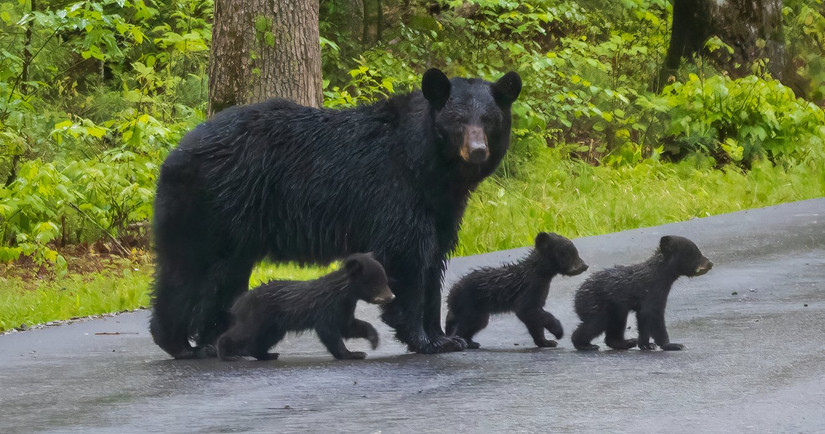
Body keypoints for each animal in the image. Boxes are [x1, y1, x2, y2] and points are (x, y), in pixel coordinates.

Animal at [216, 253, 395, 361]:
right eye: (376, 284)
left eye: (385, 280)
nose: (391, 297)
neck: (342, 292)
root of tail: (239, 302)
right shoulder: (326, 307)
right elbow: (329, 331)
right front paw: (352, 353)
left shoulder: (345, 307)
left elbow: (348, 326)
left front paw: (373, 341)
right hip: (257, 316)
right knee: (242, 333)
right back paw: (226, 353)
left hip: (274, 325)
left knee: (262, 339)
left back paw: (267, 354)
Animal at [445, 232, 589, 349]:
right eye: (569, 252)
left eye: (574, 251)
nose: (585, 266)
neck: (540, 273)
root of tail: (451, 295)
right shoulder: (531, 288)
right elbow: (527, 310)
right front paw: (558, 331)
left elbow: (534, 320)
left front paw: (545, 342)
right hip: (470, 304)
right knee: (466, 323)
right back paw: (462, 341)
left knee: (477, 323)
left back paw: (471, 342)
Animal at [571, 235, 713, 351]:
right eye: (695, 253)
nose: (710, 263)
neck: (661, 275)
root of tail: (576, 296)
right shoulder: (653, 291)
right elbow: (653, 315)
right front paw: (672, 345)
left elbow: (643, 319)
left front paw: (646, 344)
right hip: (596, 303)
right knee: (596, 322)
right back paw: (584, 345)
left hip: (616, 309)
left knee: (615, 325)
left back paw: (627, 342)